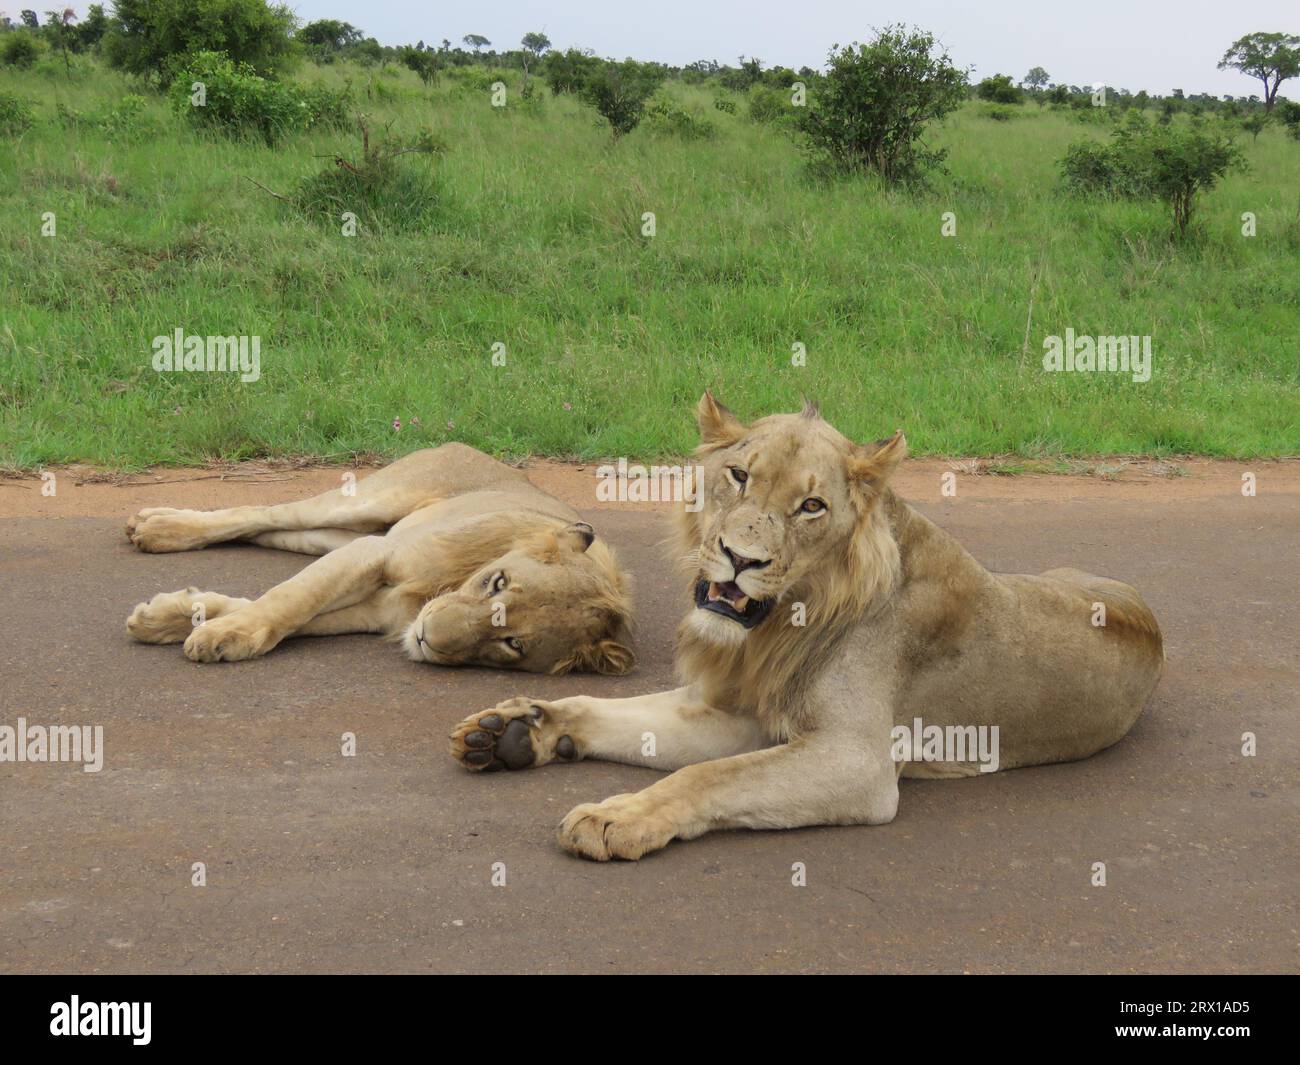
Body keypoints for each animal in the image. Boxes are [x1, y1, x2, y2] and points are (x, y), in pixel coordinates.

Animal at [124, 443, 634, 675]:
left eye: (513, 644)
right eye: (498, 583)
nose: (426, 637)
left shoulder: (377, 610)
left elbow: (287, 612)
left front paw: (173, 618)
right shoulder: (375, 553)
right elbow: (289, 599)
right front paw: (216, 632)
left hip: (341, 534)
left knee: (272, 530)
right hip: (368, 504)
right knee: (263, 513)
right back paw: (157, 528)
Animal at [449, 393, 1164, 860]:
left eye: (812, 506)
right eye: (739, 475)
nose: (741, 559)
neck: (775, 629)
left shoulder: (859, 760)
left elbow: (709, 777)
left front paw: (616, 816)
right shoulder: (732, 712)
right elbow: (613, 713)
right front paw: (515, 728)